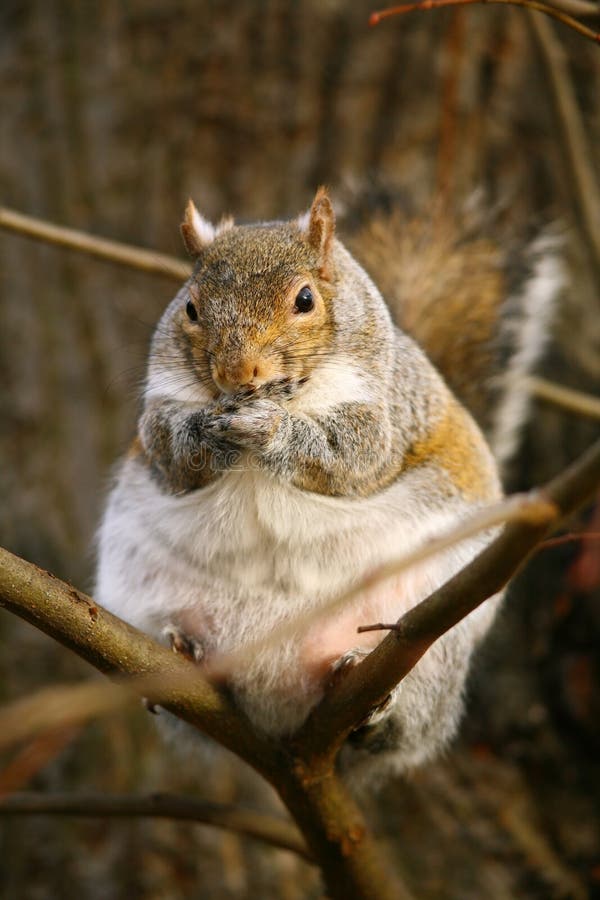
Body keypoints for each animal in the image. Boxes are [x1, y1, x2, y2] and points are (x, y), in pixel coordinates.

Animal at [95, 187, 562, 784]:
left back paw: (380, 709)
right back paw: (184, 651)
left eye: (305, 300)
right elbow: (171, 452)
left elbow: (354, 457)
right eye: (191, 308)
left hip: (433, 647)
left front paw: (272, 430)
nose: (237, 373)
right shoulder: (157, 416)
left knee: (409, 724)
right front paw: (206, 431)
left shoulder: (388, 413)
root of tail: (283, 717)